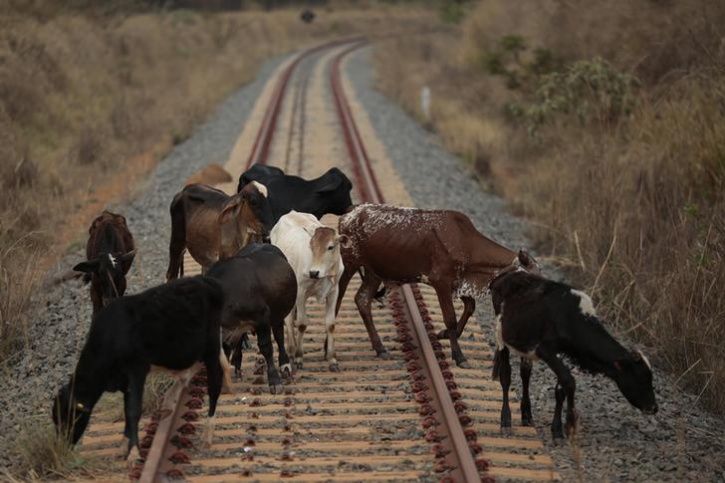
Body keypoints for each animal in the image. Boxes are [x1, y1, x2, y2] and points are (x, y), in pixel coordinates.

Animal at [52, 276, 229, 467]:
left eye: (68, 418)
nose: (62, 448)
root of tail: (205, 280)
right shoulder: (124, 381)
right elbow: (127, 410)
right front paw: (123, 447)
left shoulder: (136, 370)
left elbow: (133, 410)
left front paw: (133, 453)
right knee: (195, 369)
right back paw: (171, 398)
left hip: (211, 347)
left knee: (214, 384)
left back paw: (207, 435)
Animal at [206, 243, 297, 394]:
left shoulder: (262, 318)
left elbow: (266, 347)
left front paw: (274, 381)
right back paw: (237, 366)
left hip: (278, 315)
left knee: (279, 337)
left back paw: (285, 365)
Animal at [270, 211, 344, 371]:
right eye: (311, 246)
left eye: (330, 247)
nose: (314, 272)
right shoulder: (300, 293)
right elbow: (302, 324)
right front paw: (299, 357)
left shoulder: (334, 292)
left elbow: (330, 324)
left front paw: (333, 359)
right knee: (288, 319)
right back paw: (291, 352)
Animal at [336, 203, 540, 368]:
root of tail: (351, 211)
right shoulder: (441, 282)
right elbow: (450, 318)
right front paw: (459, 356)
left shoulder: (458, 283)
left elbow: (470, 306)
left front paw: (445, 334)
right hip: (348, 264)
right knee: (338, 298)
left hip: (374, 273)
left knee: (362, 300)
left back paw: (380, 348)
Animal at [489, 269, 658, 439]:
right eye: (641, 378)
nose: (654, 407)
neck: (570, 317)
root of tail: (508, 274)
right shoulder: (545, 349)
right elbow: (569, 381)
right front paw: (569, 423)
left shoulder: (560, 352)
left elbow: (560, 388)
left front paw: (557, 429)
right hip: (501, 334)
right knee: (506, 376)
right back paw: (506, 421)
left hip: (524, 343)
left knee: (525, 374)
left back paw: (527, 415)